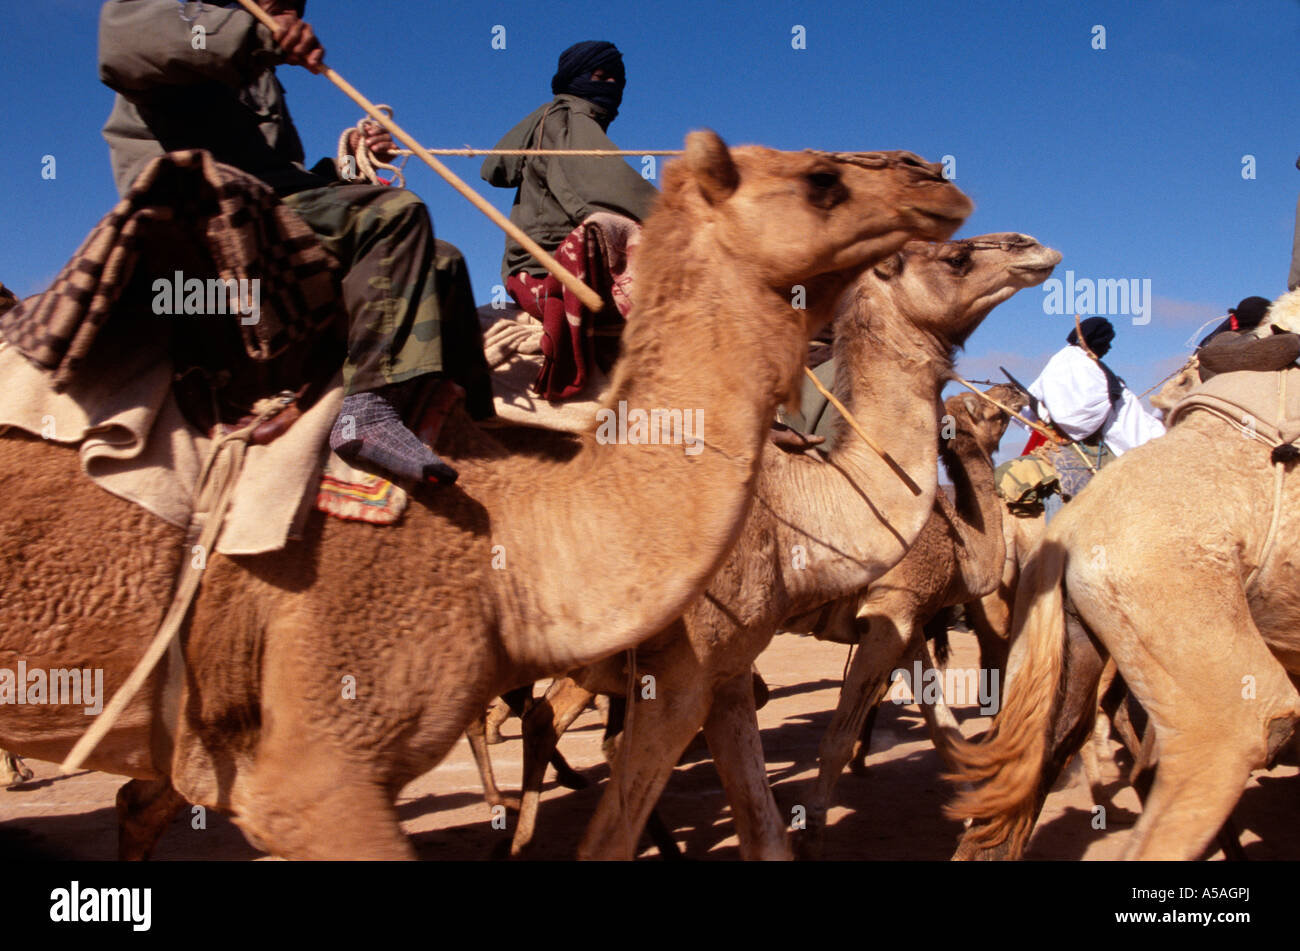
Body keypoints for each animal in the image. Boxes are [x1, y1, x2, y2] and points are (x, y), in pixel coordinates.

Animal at [796, 383, 1031, 856]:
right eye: (990, 411)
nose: (1016, 392)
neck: (961, 550)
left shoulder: (911, 627)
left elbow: (947, 731)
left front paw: (973, 816)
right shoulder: (892, 612)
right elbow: (837, 739)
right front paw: (810, 837)